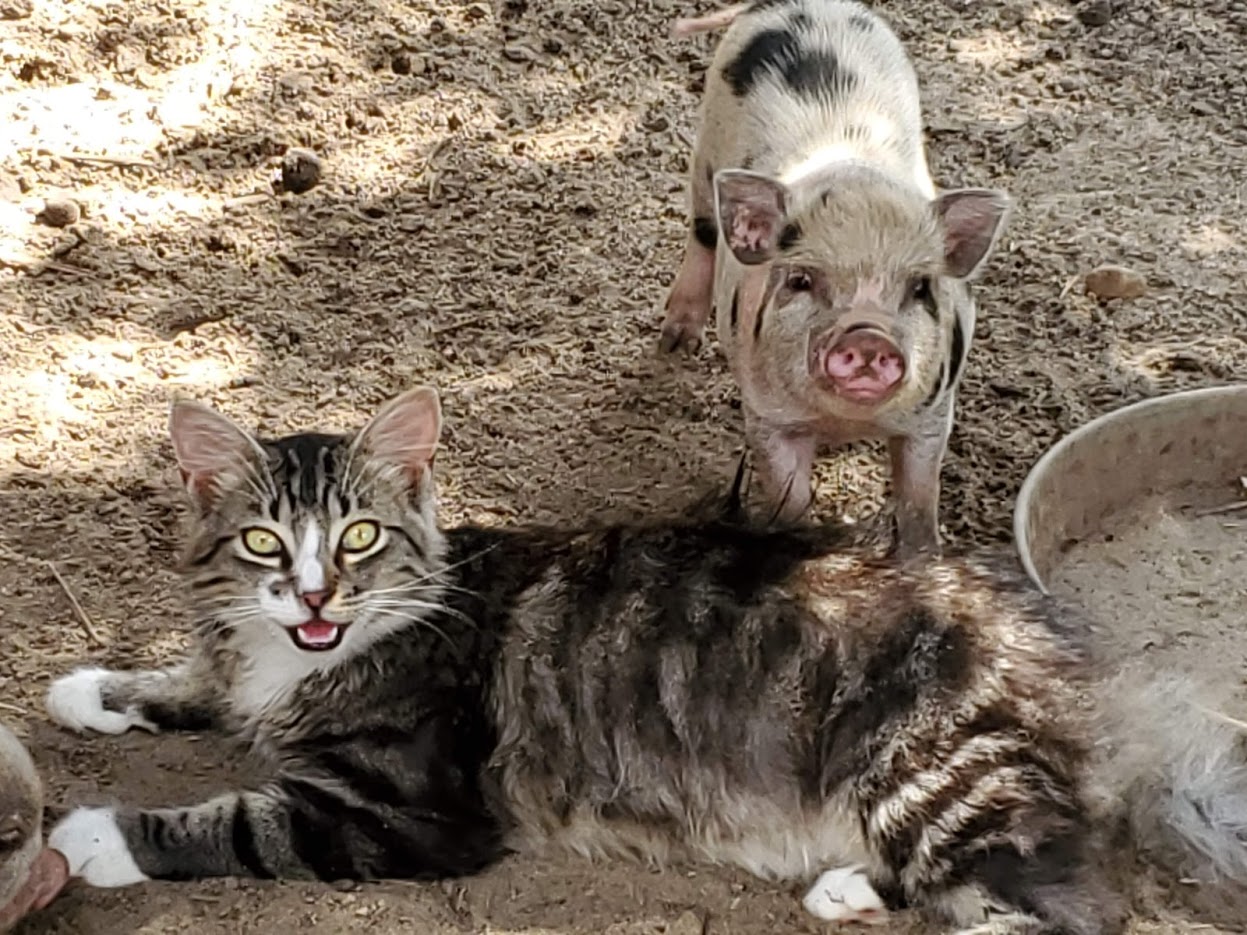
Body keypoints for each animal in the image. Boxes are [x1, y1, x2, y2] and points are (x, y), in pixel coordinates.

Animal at [660, 0, 1012, 557]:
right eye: (803, 280)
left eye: (919, 288)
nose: (868, 336)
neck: (845, 423)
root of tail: (798, 5)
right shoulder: (767, 416)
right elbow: (790, 496)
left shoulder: (933, 415)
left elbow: (919, 500)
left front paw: (922, 556)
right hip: (705, 148)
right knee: (702, 231)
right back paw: (674, 343)